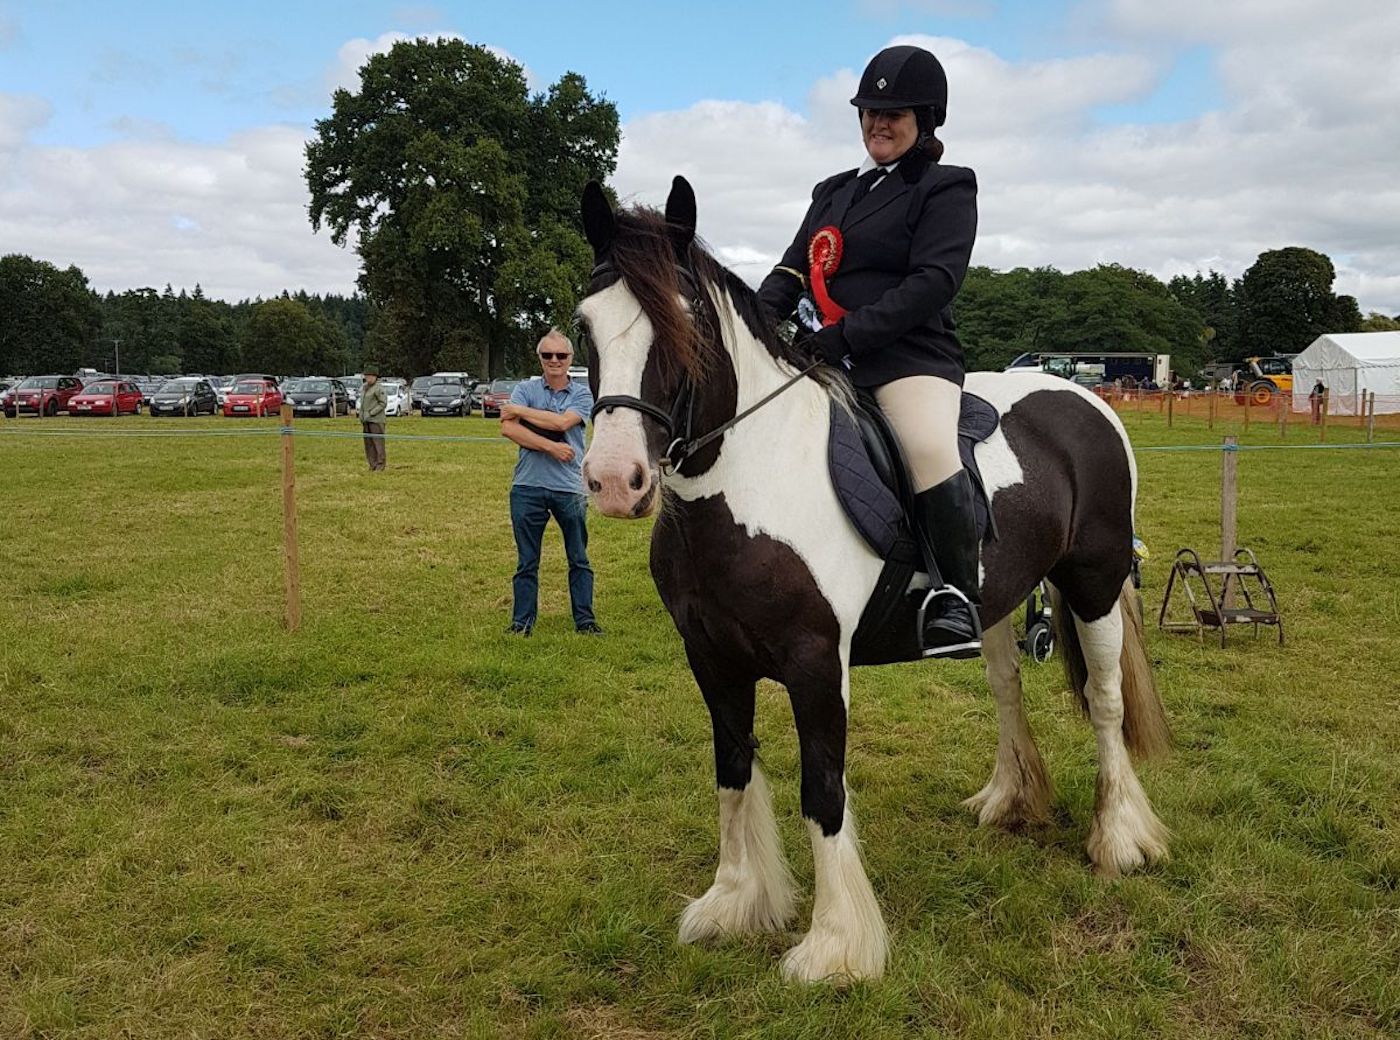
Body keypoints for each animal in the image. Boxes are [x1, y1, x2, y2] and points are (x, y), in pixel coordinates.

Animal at [575, 177, 1171, 984]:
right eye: (584, 327)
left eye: (686, 324)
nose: (615, 481)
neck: (746, 486)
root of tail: (1086, 399)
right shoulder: (712, 660)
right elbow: (732, 769)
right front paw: (735, 902)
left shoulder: (815, 664)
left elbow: (822, 789)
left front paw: (835, 946)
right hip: (993, 601)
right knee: (1007, 689)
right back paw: (1011, 799)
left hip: (1095, 581)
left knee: (1106, 703)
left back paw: (1119, 839)